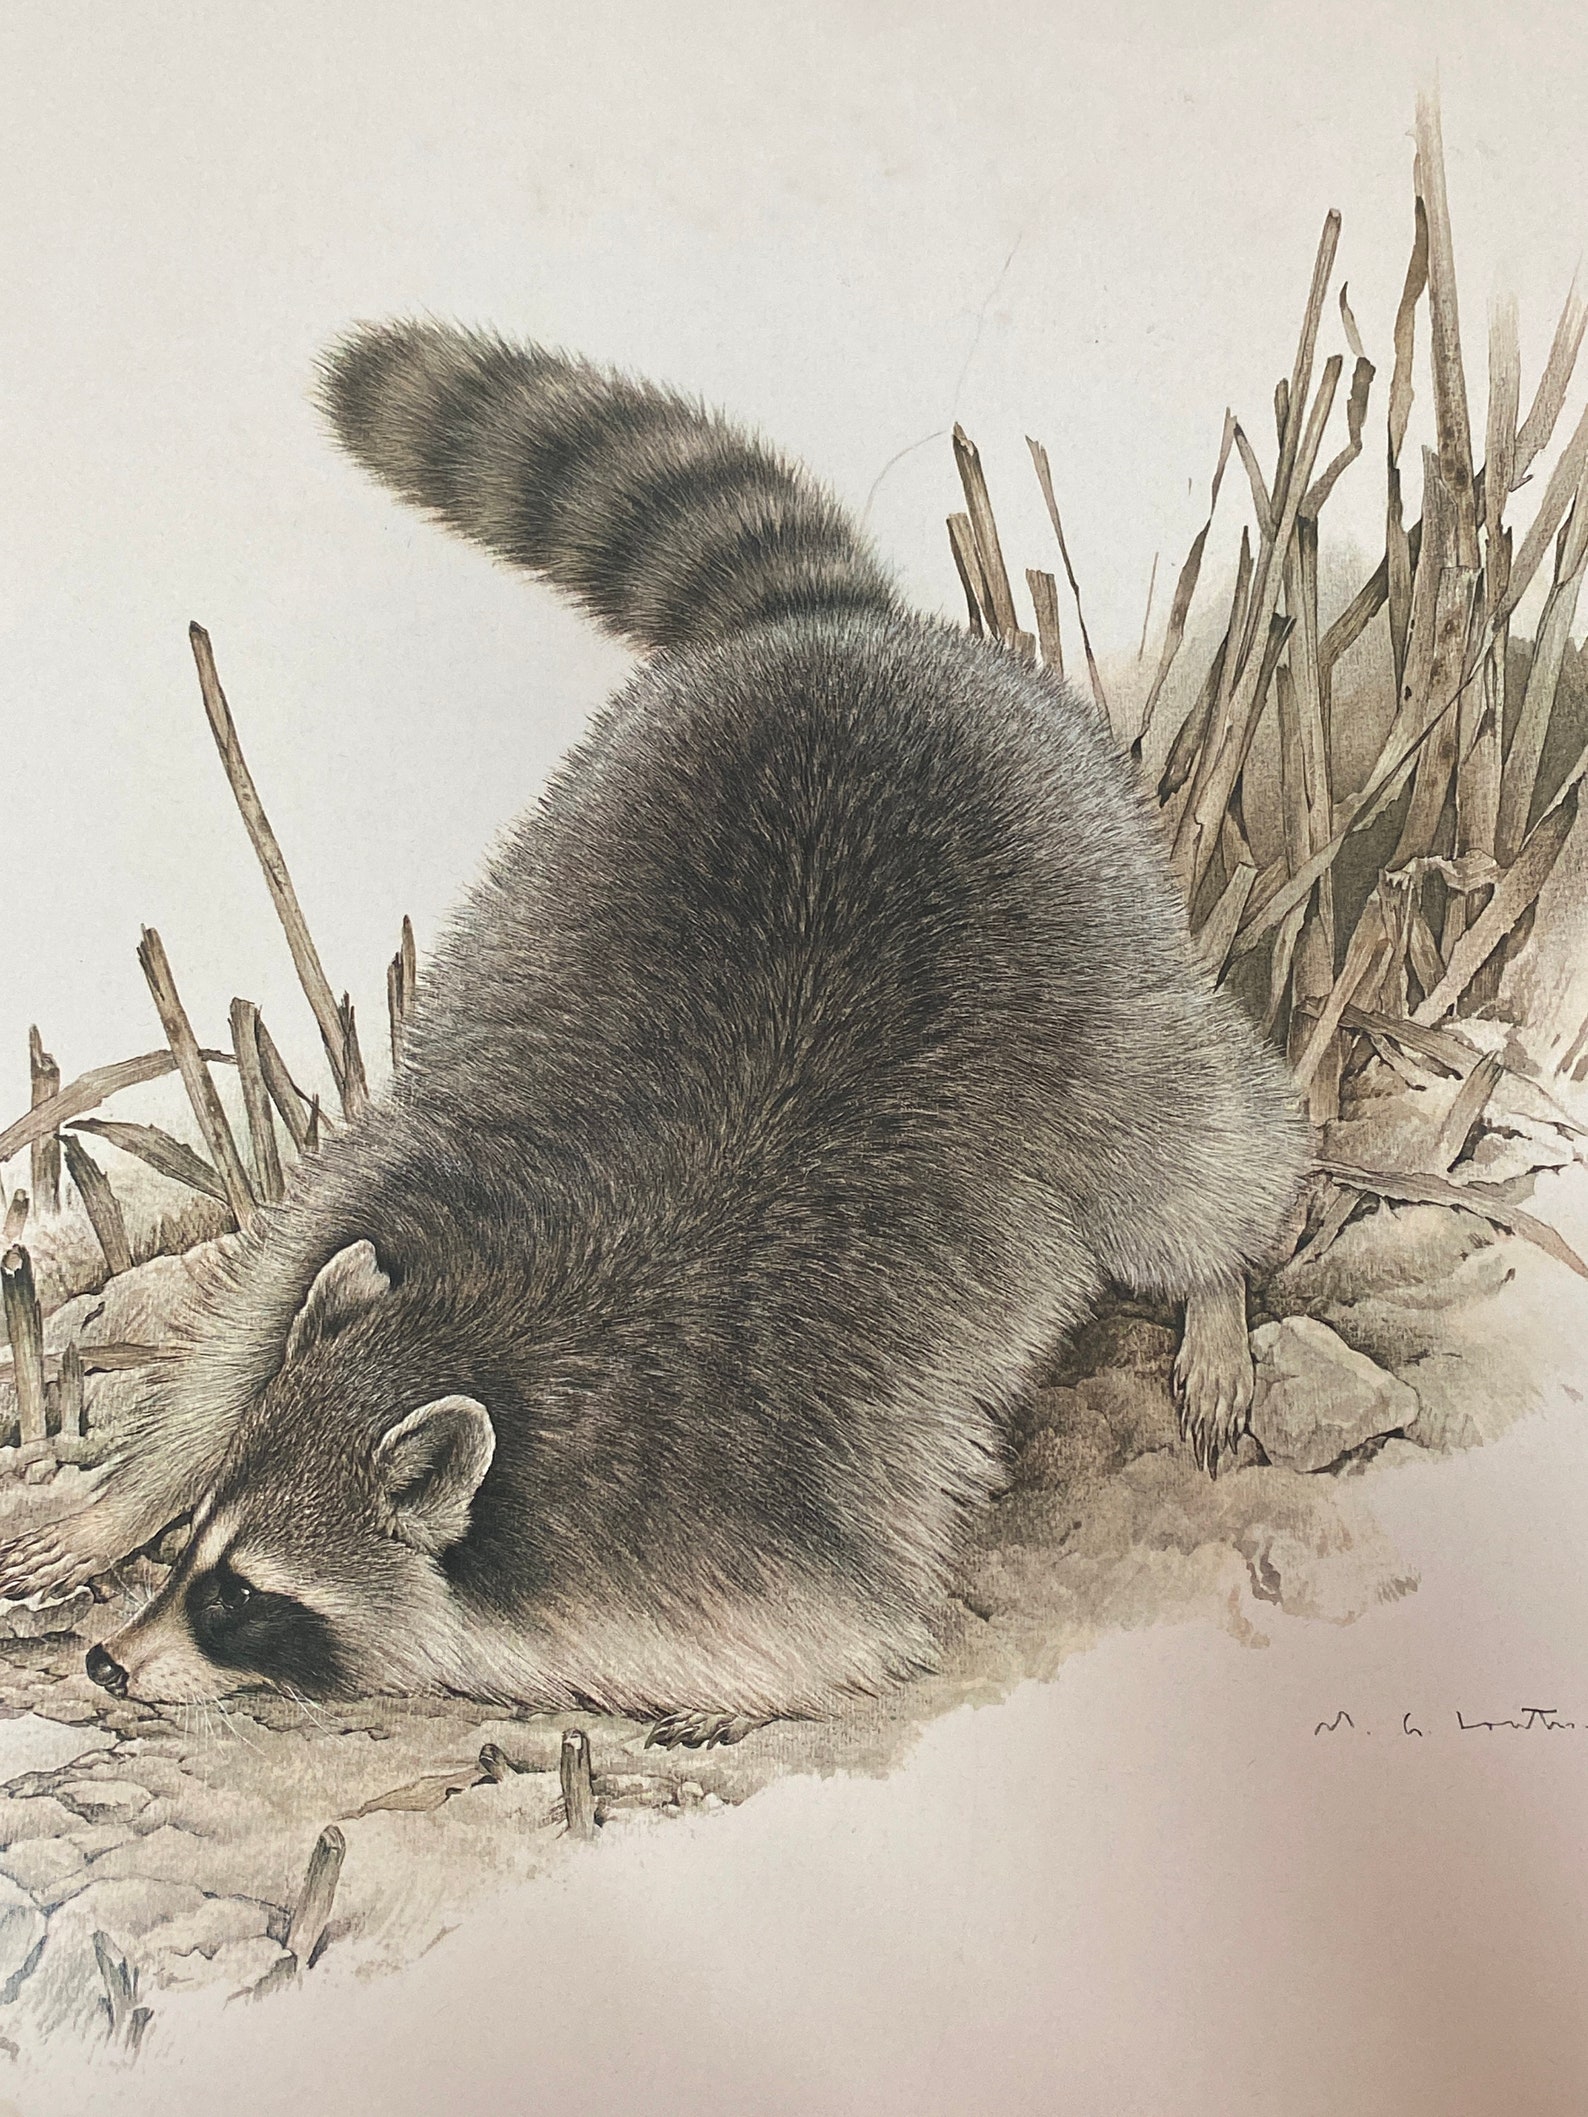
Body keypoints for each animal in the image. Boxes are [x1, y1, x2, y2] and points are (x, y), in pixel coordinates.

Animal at [3, 322, 1307, 1740]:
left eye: (243, 1595)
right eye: (194, 1546)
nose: (110, 1662)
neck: (500, 1334)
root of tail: (838, 629)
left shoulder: (756, 1504)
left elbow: (841, 1638)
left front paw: (724, 1702)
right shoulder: (408, 1180)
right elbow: (261, 1289)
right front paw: (122, 1493)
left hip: (1098, 945)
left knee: (1184, 1157)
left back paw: (1218, 1289)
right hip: (566, 834)